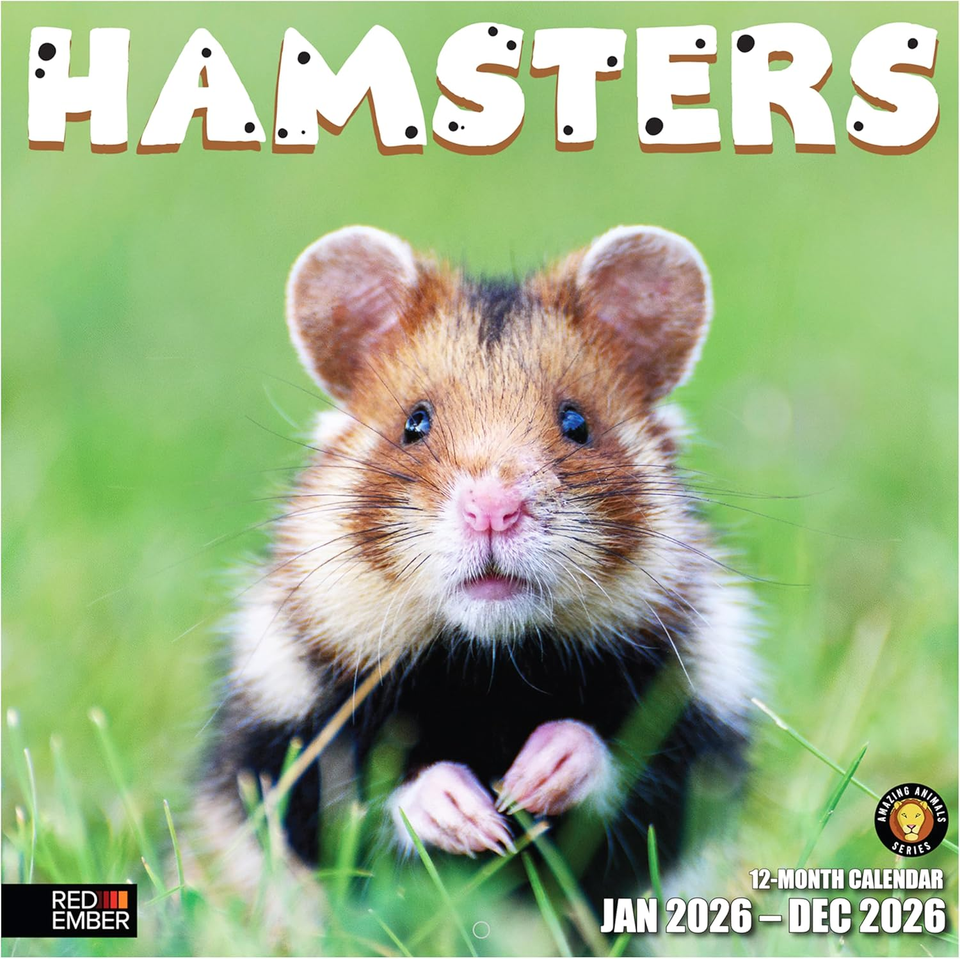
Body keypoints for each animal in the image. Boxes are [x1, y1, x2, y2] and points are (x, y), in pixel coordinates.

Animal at [191, 224, 757, 908]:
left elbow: (637, 775)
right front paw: (472, 817)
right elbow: (345, 807)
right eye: (414, 422)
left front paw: (530, 781)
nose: (492, 509)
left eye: (578, 423)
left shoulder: (697, 717)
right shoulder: (283, 730)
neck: (492, 666)